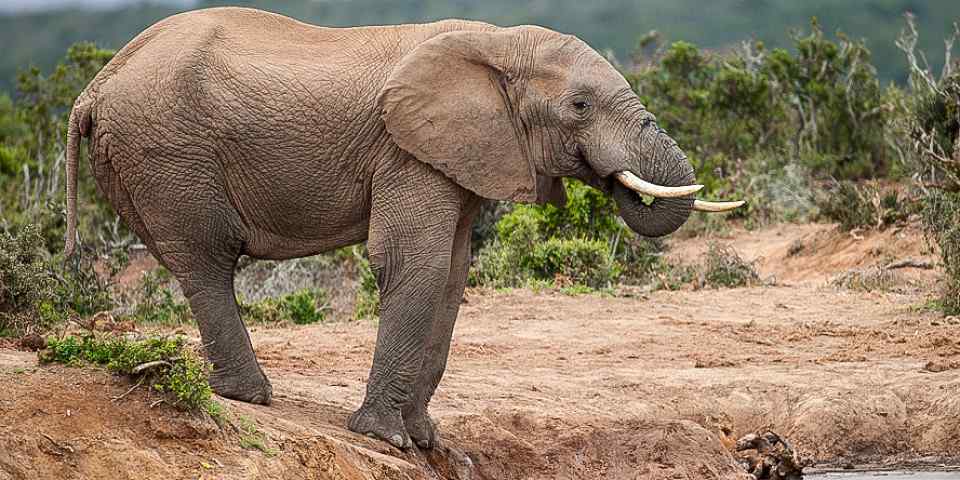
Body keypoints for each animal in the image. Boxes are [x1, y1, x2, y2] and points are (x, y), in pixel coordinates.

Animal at [63, 7, 741, 449]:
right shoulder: (405, 150)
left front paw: (428, 443)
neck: (497, 42)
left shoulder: (463, 152)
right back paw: (248, 396)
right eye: (579, 106)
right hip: (169, 151)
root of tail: (93, 87)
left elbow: (452, 274)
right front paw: (387, 440)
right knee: (206, 259)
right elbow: (416, 263)